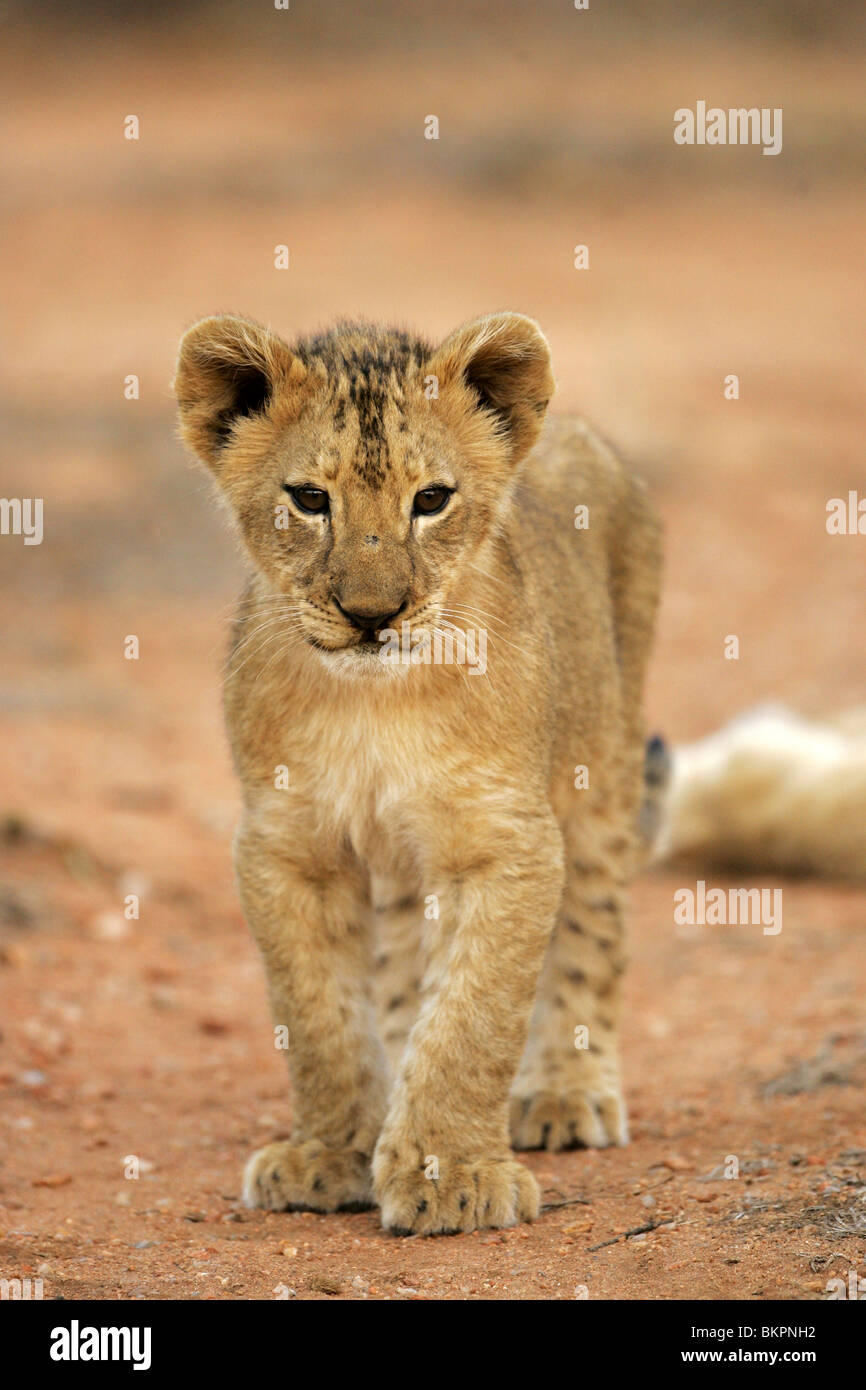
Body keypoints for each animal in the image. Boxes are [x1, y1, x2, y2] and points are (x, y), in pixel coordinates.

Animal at [174, 310, 661, 1235]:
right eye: (310, 499)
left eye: (431, 500)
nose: (372, 615)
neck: (374, 705)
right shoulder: (286, 843)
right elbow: (320, 1016)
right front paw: (332, 1155)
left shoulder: (506, 838)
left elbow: (473, 1018)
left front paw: (451, 1171)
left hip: (604, 774)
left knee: (598, 930)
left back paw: (566, 1093)